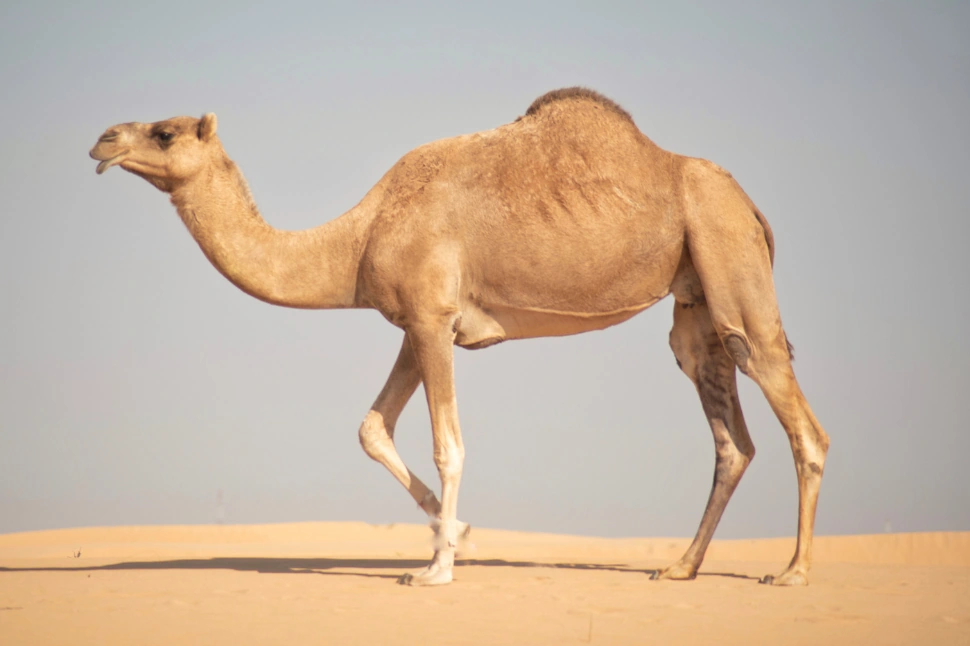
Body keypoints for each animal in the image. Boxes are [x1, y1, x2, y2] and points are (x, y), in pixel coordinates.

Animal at [89, 87, 830, 587]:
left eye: (164, 132)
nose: (102, 141)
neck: (358, 235)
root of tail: (750, 205)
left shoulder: (430, 317)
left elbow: (449, 444)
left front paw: (436, 568)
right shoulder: (418, 323)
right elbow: (371, 427)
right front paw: (462, 535)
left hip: (729, 255)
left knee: (797, 414)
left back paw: (793, 571)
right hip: (696, 304)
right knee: (730, 435)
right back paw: (679, 568)